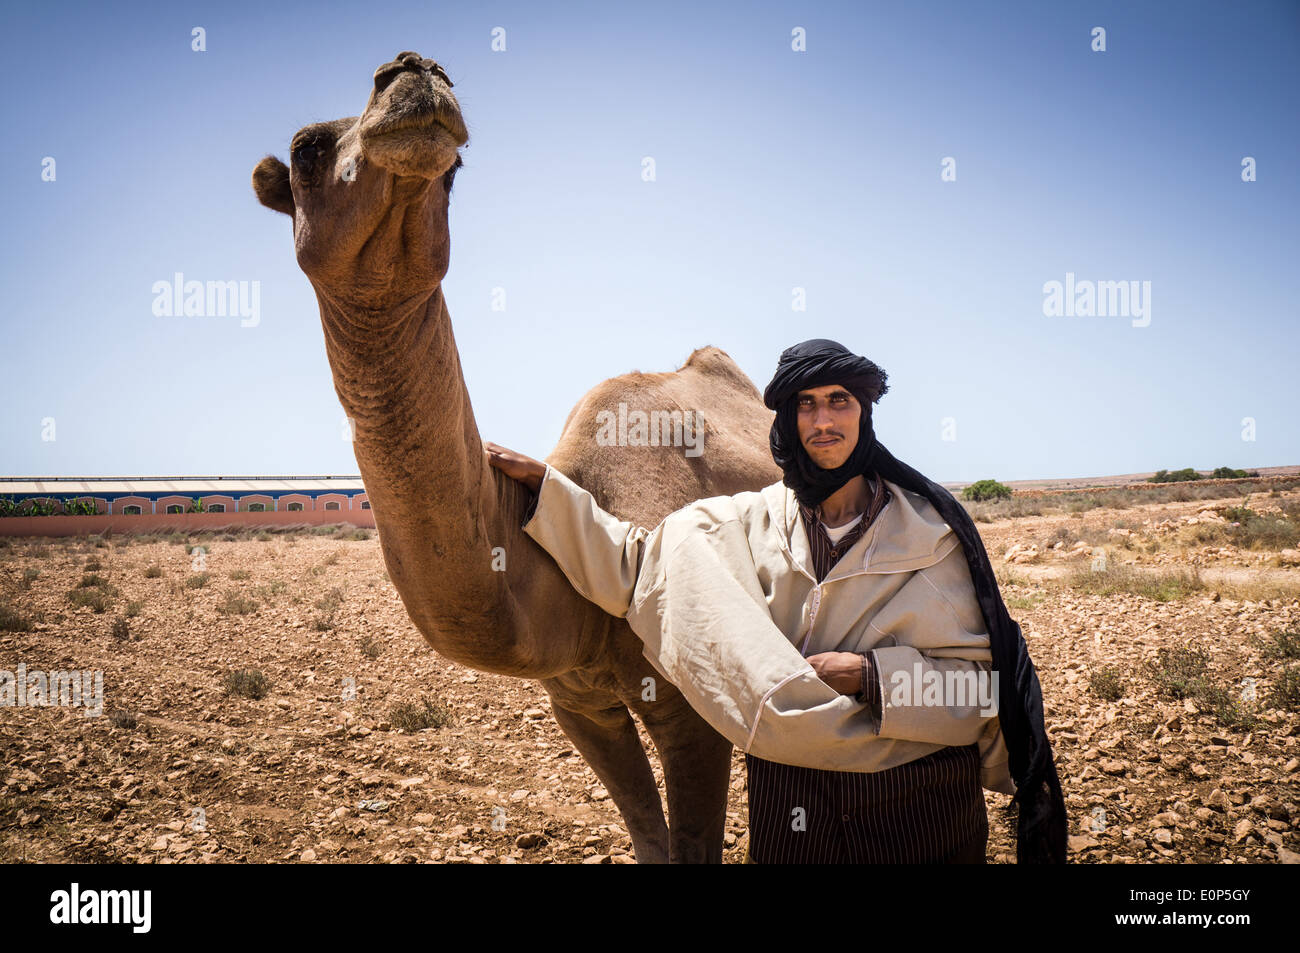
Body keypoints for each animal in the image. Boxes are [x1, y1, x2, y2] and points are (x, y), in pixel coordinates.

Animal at [251, 51, 782, 862]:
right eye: (308, 148)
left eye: (456, 172)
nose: (414, 69)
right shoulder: (579, 703)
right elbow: (647, 834)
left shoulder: (685, 706)